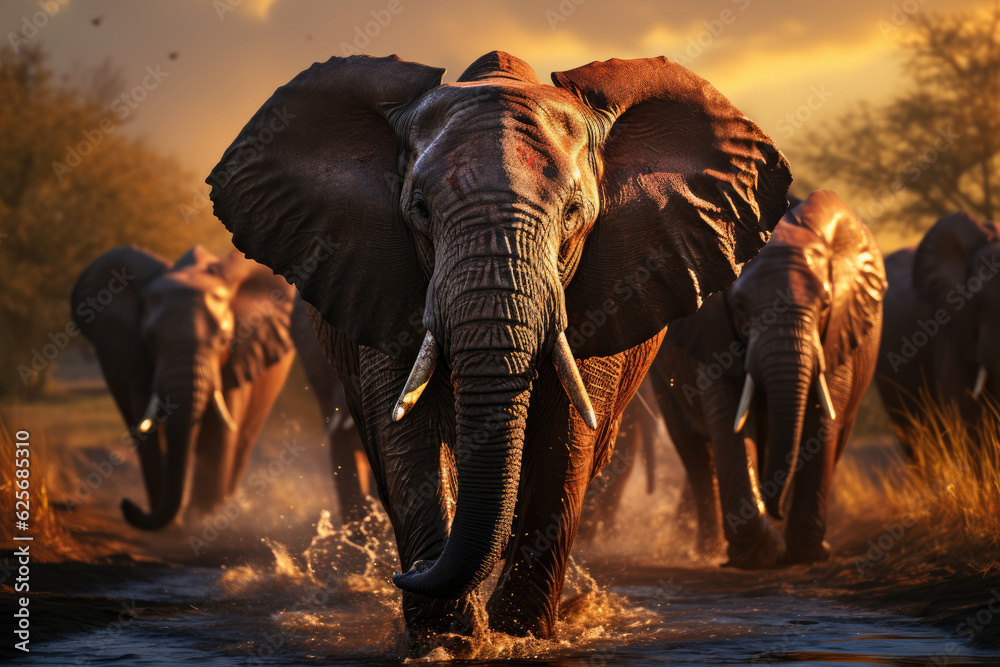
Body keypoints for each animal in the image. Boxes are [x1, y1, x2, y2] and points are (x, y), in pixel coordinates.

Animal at [71, 245, 297, 530]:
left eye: (224, 340)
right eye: (149, 339)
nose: (126, 505)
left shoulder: (239, 358)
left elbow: (219, 434)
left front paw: (202, 521)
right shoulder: (137, 359)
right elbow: (151, 433)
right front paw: (180, 523)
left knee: (242, 441)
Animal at [648, 190, 886, 569]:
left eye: (825, 304)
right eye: (740, 307)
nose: (776, 511)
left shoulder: (838, 332)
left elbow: (821, 418)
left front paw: (808, 554)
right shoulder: (711, 331)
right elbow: (729, 418)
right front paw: (759, 555)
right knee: (694, 451)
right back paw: (708, 552)